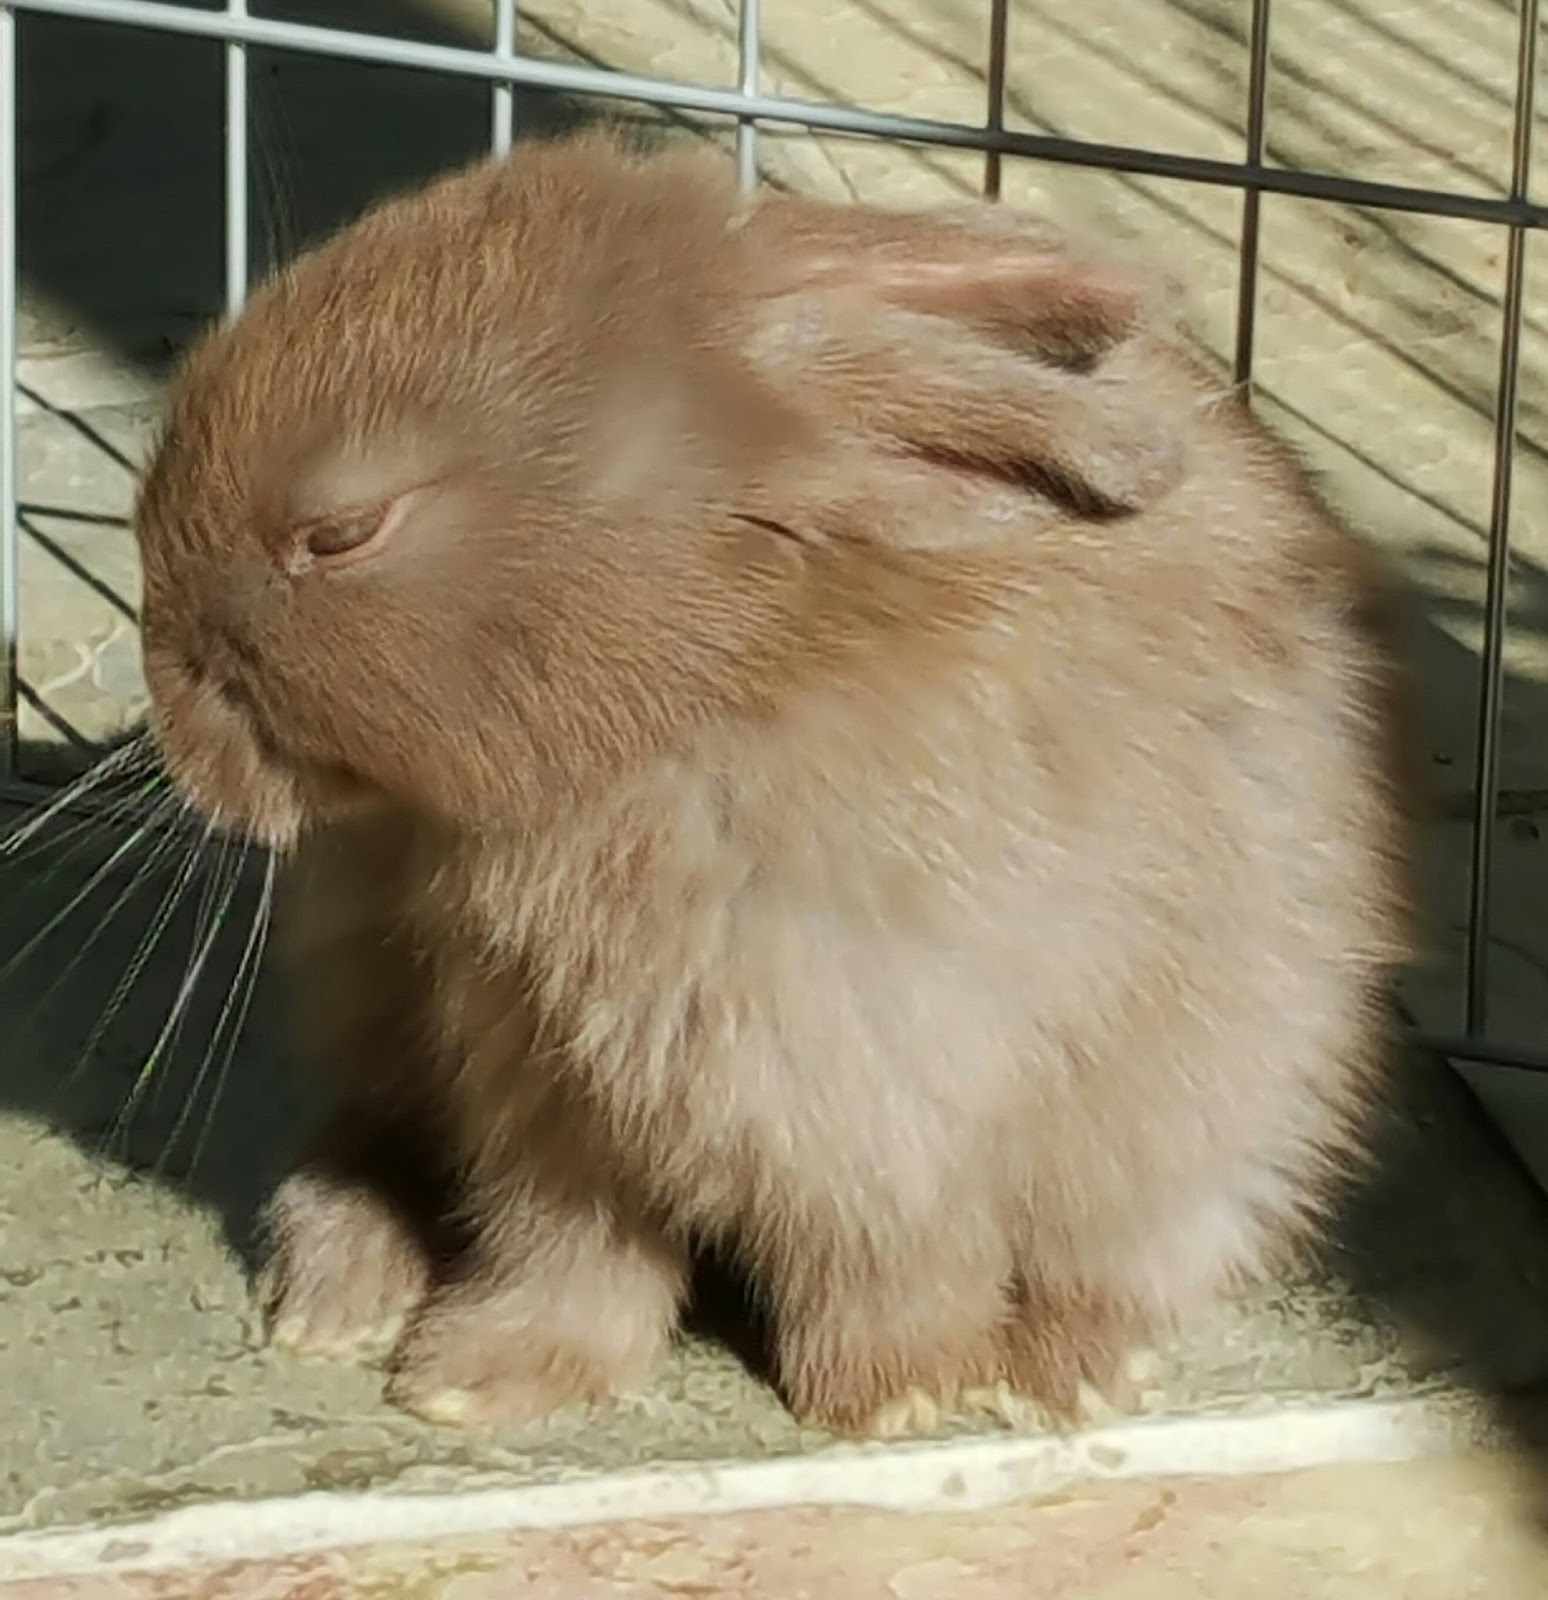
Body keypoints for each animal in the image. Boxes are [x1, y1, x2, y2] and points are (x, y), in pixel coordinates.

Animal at [133, 129, 1413, 1437]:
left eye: (341, 533)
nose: (176, 724)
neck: (716, 691)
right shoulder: (547, 1081)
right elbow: (565, 1249)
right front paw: (480, 1381)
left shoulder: (879, 1100)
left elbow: (890, 1262)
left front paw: (892, 1398)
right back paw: (336, 1292)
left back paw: (1076, 1370)